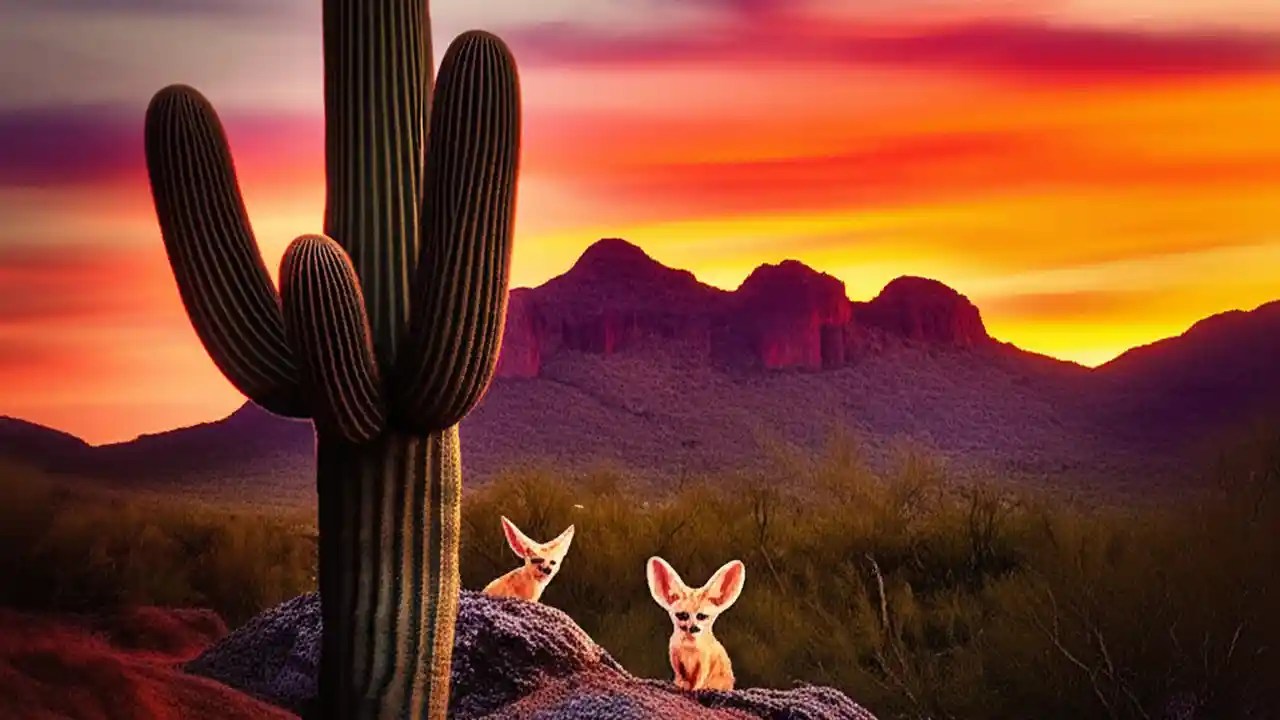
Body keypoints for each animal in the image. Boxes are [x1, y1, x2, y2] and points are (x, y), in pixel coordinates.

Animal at [646, 556, 746, 691]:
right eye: (683, 615)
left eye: (701, 616)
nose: (693, 627)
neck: (689, 647)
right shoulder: (676, 659)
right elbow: (681, 677)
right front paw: (681, 685)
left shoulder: (704, 662)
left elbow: (699, 680)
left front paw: (695, 689)